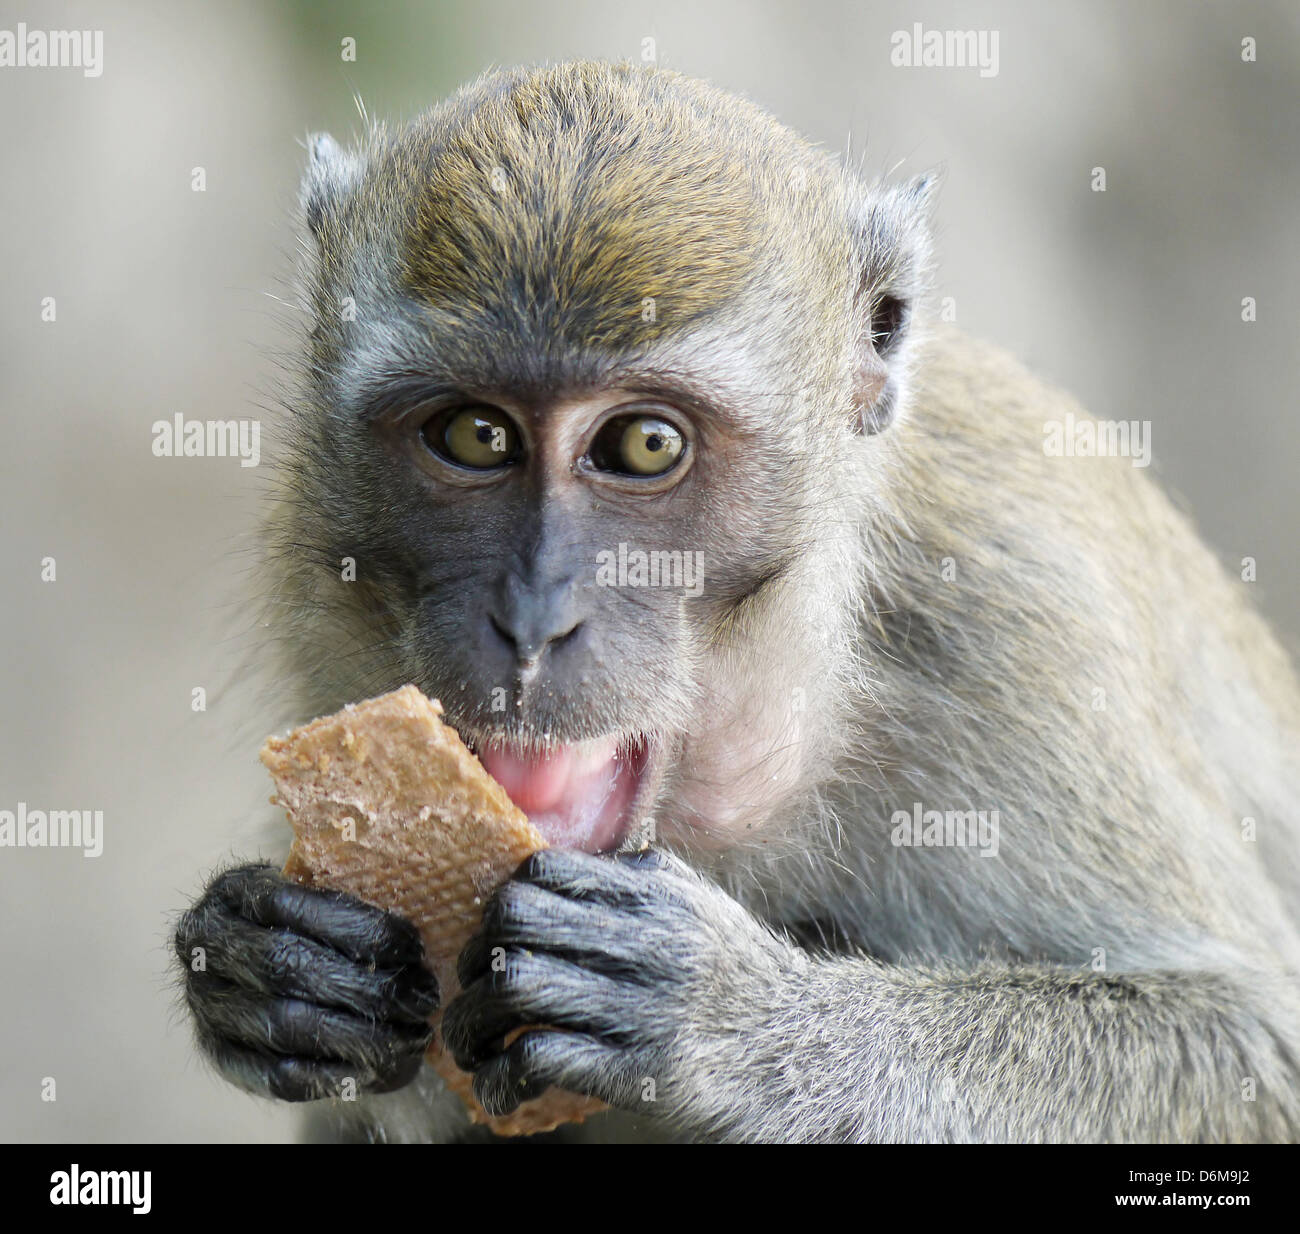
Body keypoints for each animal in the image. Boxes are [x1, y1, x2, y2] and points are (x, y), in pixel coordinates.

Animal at [175, 60, 1300, 1144]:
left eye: (644, 444)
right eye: (476, 435)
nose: (532, 620)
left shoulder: (1016, 615)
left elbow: (1252, 1041)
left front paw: (719, 1016)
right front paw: (256, 964)